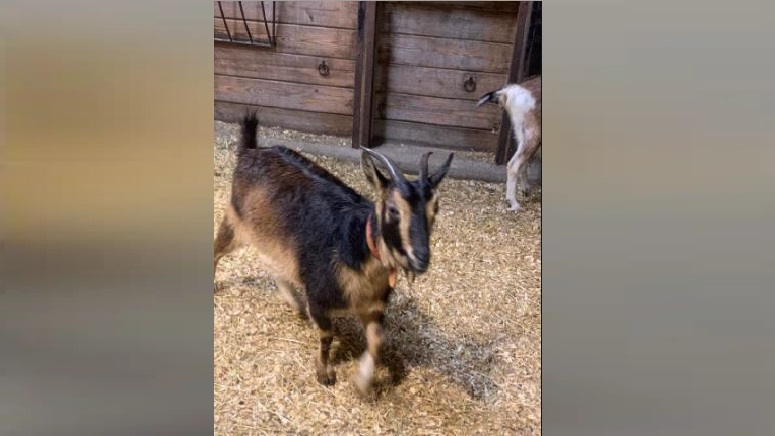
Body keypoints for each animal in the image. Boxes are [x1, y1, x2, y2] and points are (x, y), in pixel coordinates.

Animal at [214, 113, 454, 395]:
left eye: (435, 209)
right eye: (394, 210)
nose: (420, 258)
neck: (357, 249)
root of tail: (249, 151)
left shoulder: (372, 305)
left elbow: (377, 339)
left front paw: (362, 383)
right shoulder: (318, 298)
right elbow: (327, 336)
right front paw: (324, 373)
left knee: (271, 263)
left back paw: (294, 303)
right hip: (236, 221)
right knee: (217, 249)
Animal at [477, 75, 541, 211]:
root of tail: (510, 91)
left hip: (522, 134)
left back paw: (526, 191)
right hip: (533, 135)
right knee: (513, 165)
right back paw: (514, 203)